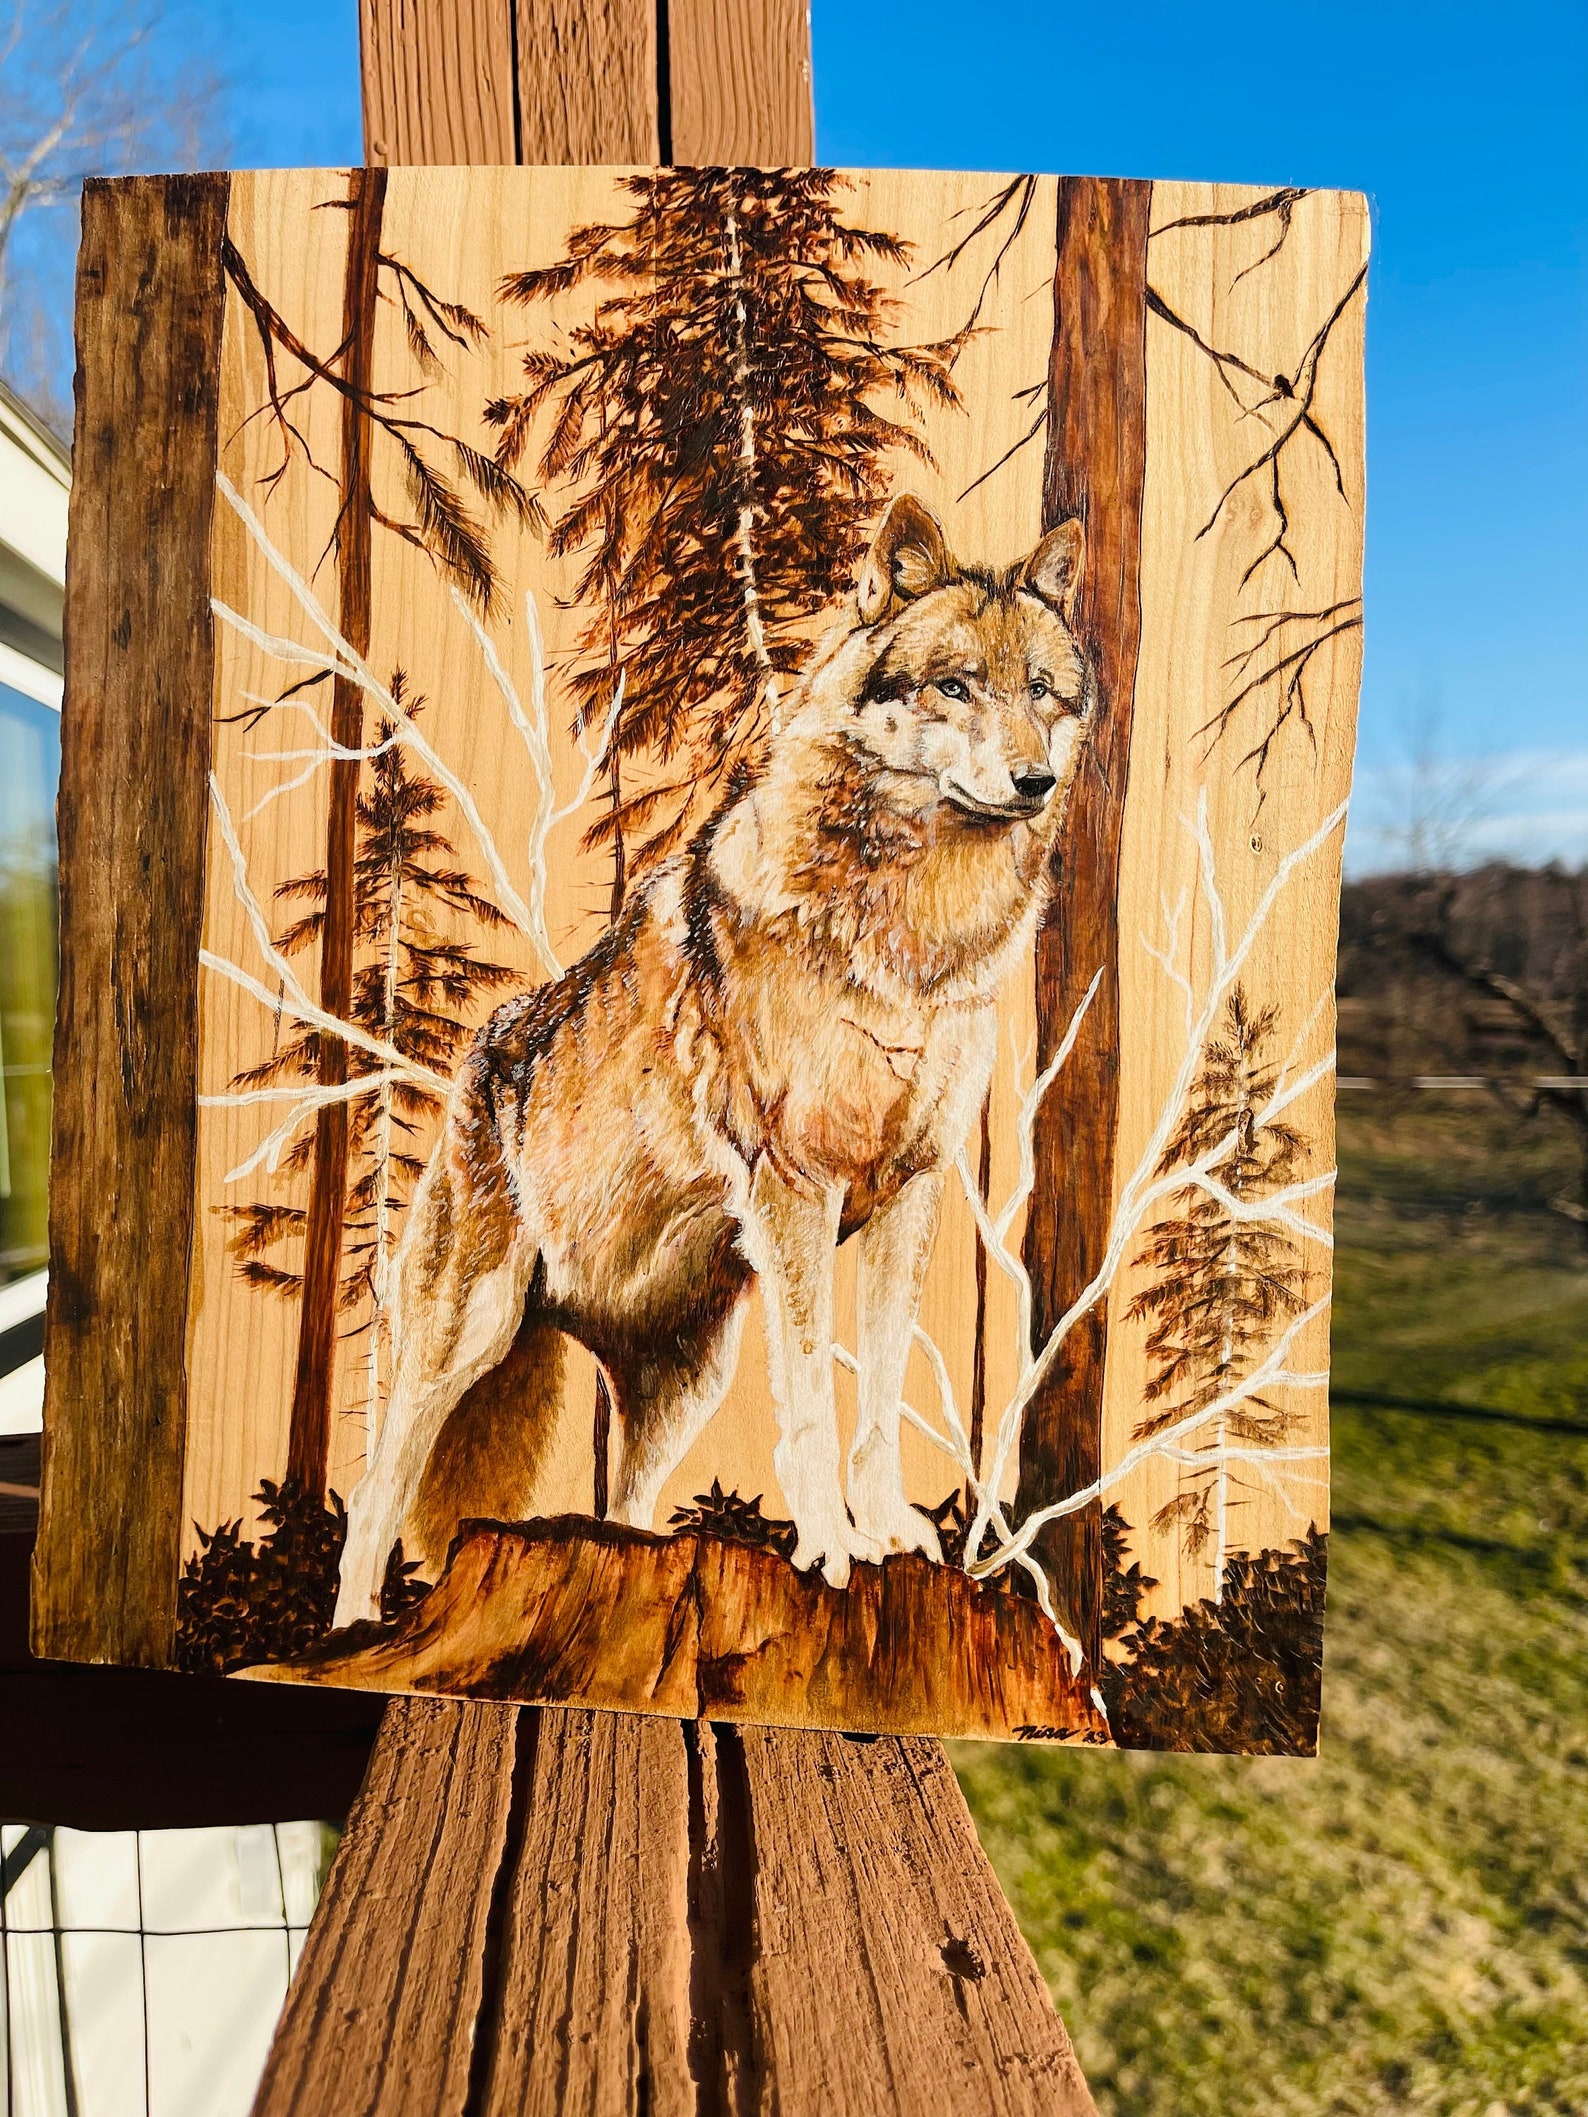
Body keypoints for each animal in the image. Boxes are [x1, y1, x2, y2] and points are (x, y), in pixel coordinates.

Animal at [332, 494, 1095, 1626]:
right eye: (955, 685)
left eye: (1040, 692)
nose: (1033, 779)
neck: (911, 946)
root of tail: (485, 1045)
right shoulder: (798, 1187)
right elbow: (814, 1402)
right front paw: (831, 1545)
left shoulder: (911, 1189)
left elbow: (877, 1400)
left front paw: (890, 1532)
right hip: (462, 1339)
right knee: (374, 1501)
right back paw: (348, 1632)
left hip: (683, 1380)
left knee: (624, 1504)